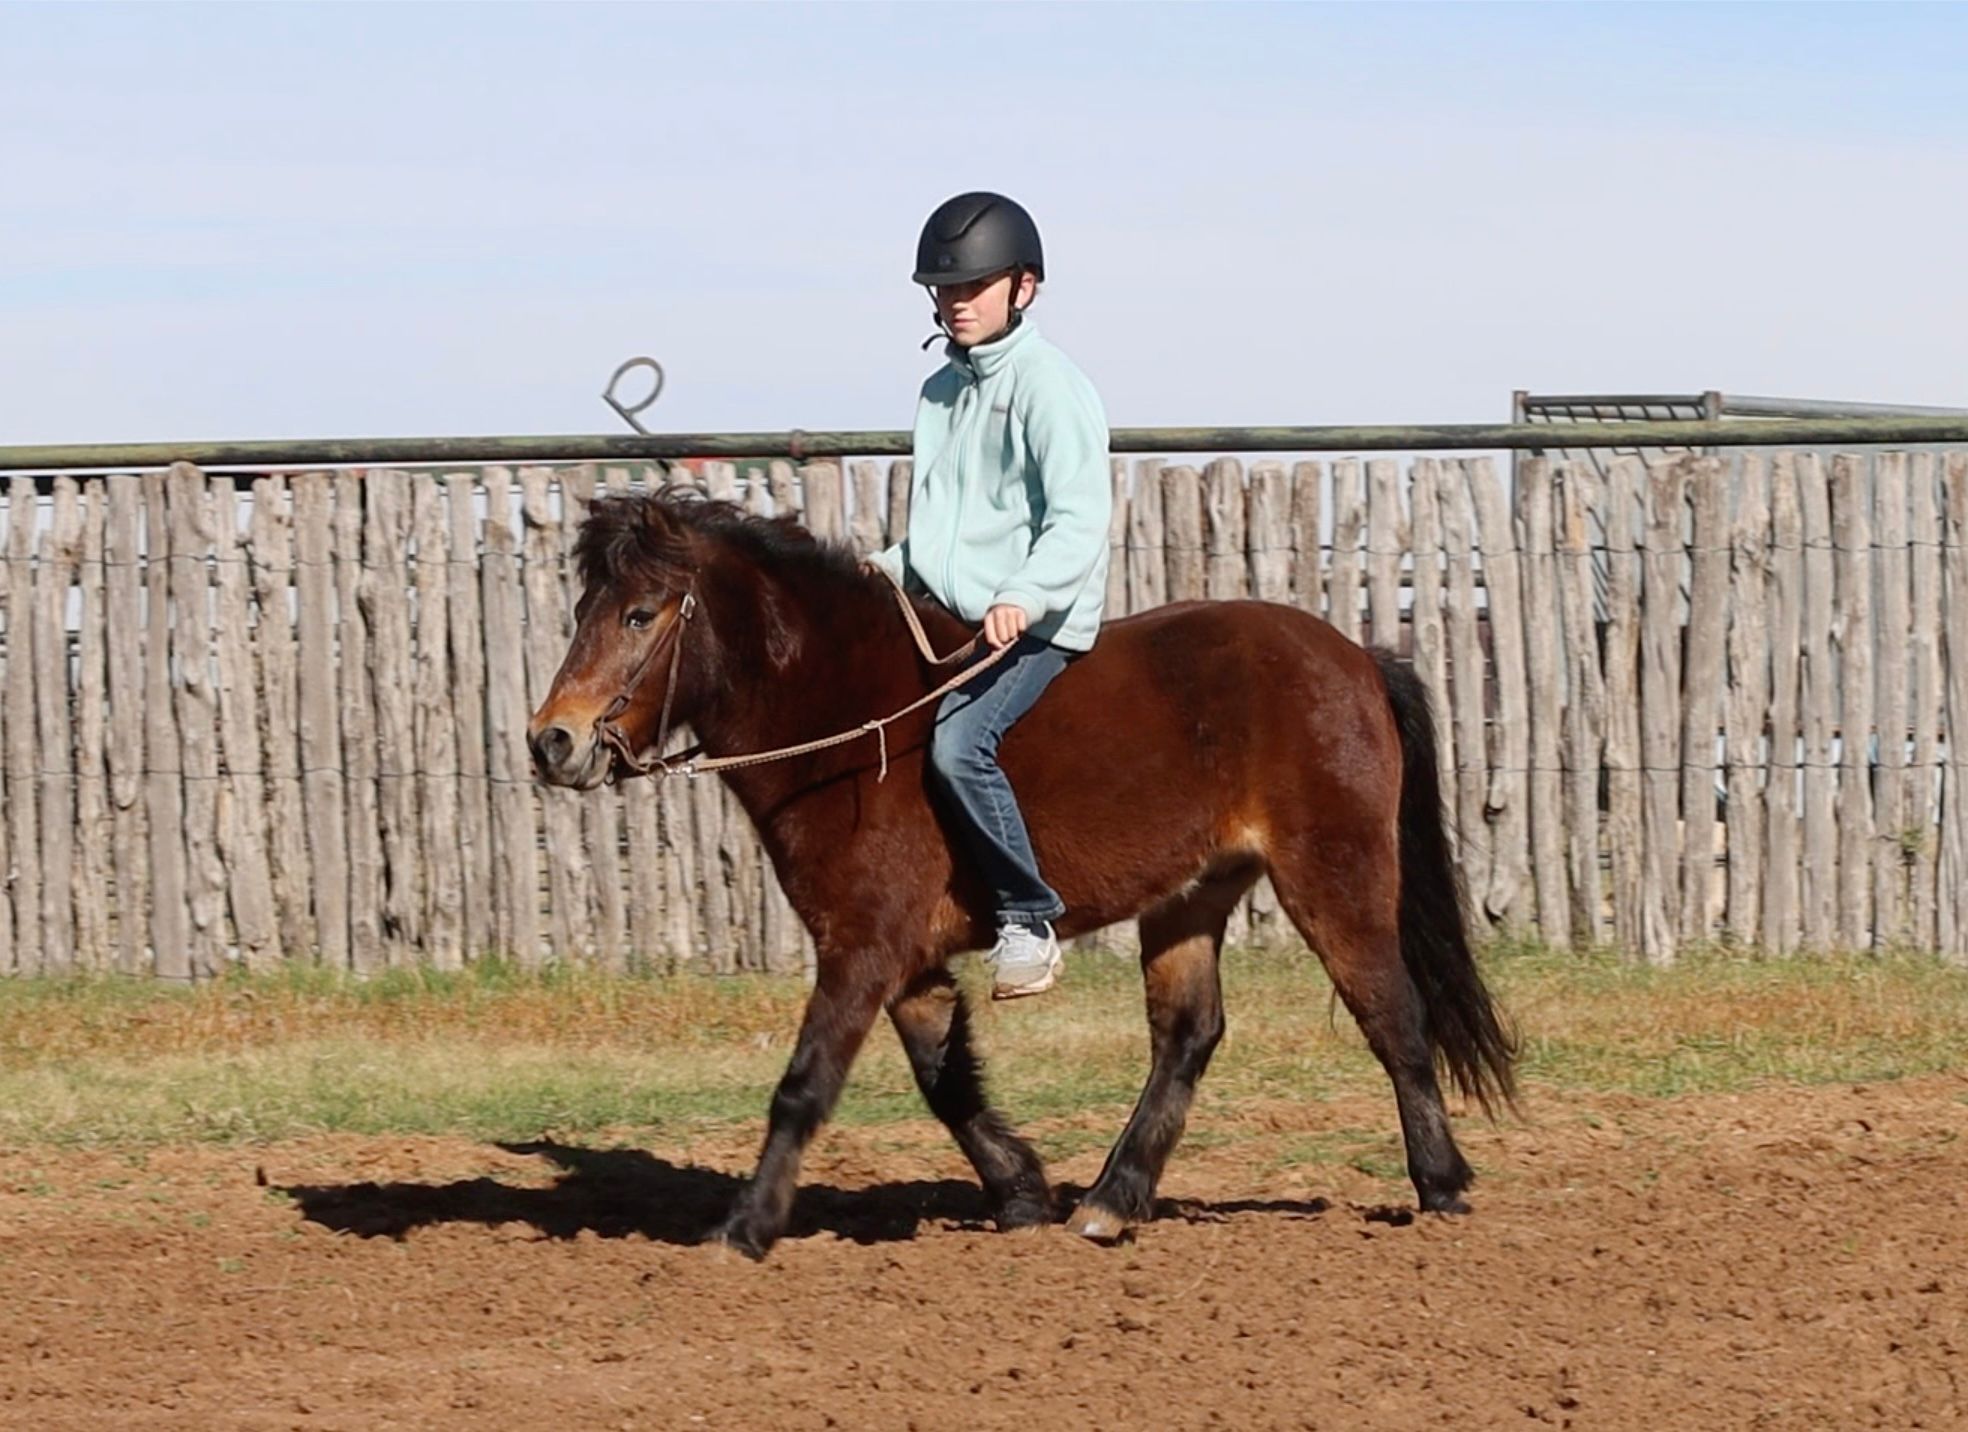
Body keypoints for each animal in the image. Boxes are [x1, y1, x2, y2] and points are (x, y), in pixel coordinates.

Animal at [526, 486, 1516, 1259]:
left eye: (640, 614)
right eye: (580, 613)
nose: (553, 742)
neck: (849, 720)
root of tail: (1359, 657)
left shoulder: (862, 946)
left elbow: (805, 1084)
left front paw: (743, 1230)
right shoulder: (904, 961)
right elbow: (946, 1081)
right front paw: (1023, 1194)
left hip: (1334, 875)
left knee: (1392, 1013)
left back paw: (1442, 1187)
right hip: (1194, 895)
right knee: (1188, 1035)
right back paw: (1111, 1202)